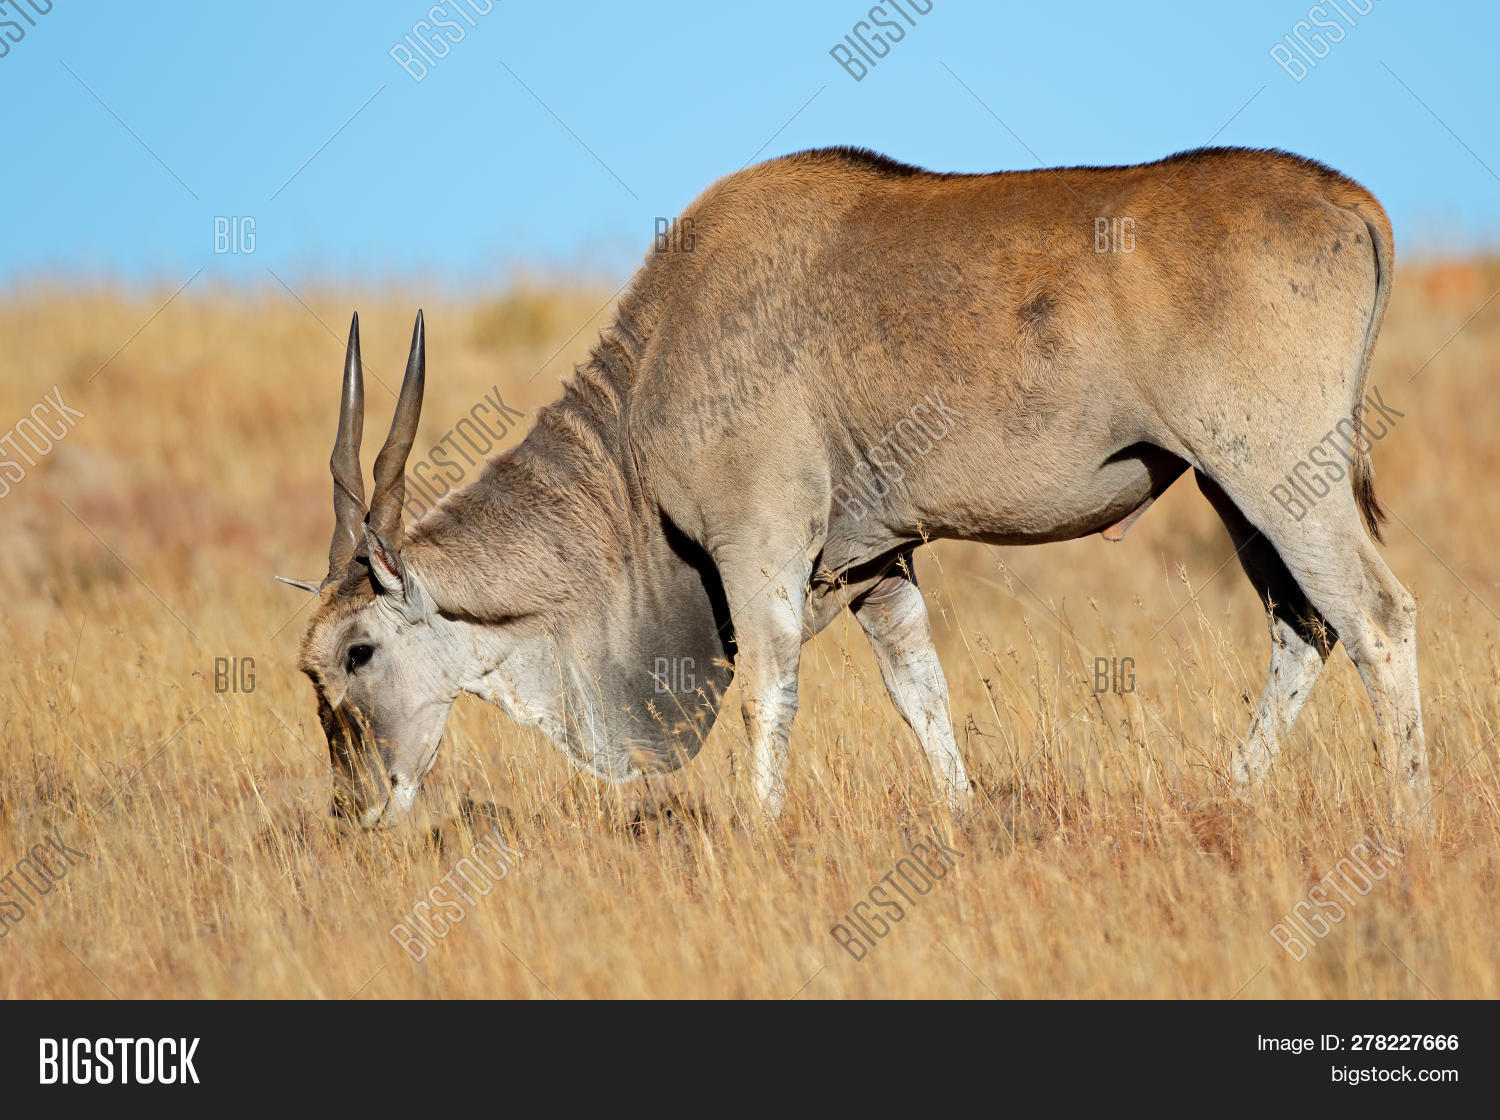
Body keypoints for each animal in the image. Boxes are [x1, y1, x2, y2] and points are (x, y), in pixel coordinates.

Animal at [286, 145, 1430, 829]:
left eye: (358, 652)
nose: (352, 808)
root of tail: (1352, 203)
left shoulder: (759, 551)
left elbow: (770, 690)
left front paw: (762, 835)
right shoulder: (880, 565)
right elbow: (922, 697)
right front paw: (963, 827)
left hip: (1276, 475)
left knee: (1375, 617)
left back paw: (1408, 823)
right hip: (1241, 492)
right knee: (1304, 626)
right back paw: (1226, 800)